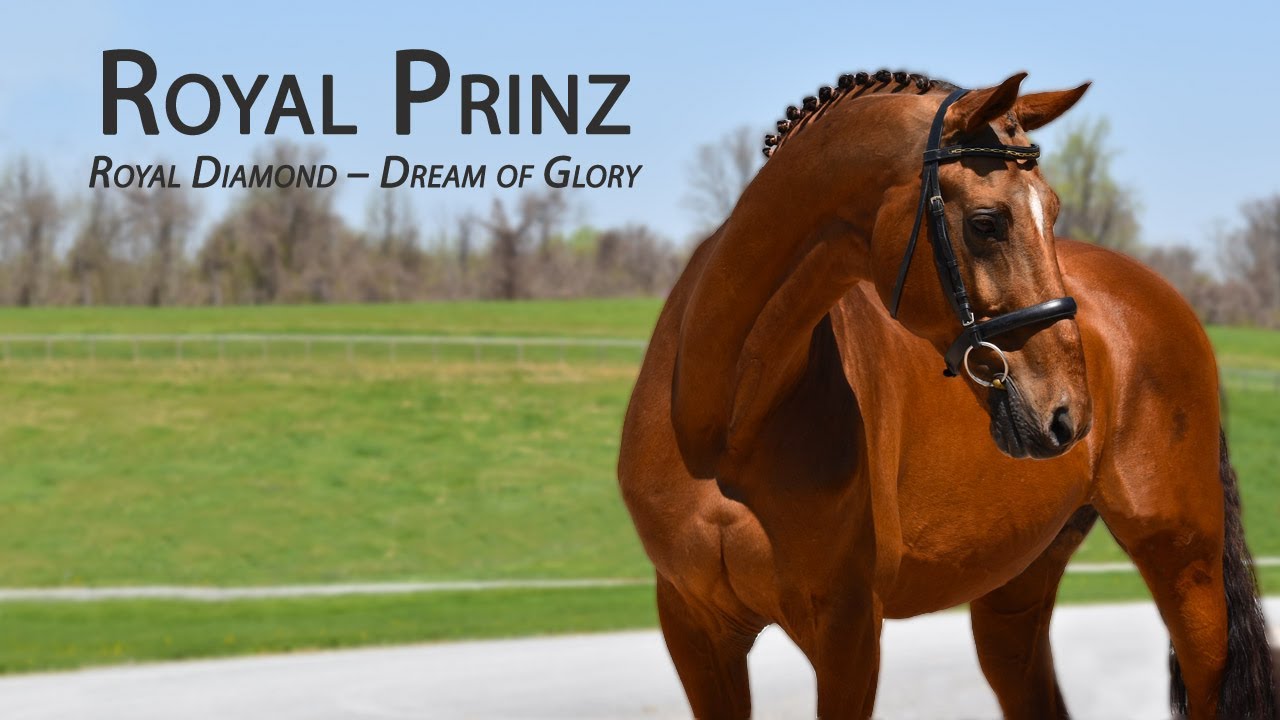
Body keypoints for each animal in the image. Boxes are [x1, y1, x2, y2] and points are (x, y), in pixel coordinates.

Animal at [617, 69, 1275, 719]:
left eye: (1053, 210)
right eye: (987, 222)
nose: (1067, 414)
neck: (726, 421)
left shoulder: (847, 628)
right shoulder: (694, 629)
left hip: (1184, 563)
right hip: (1017, 588)